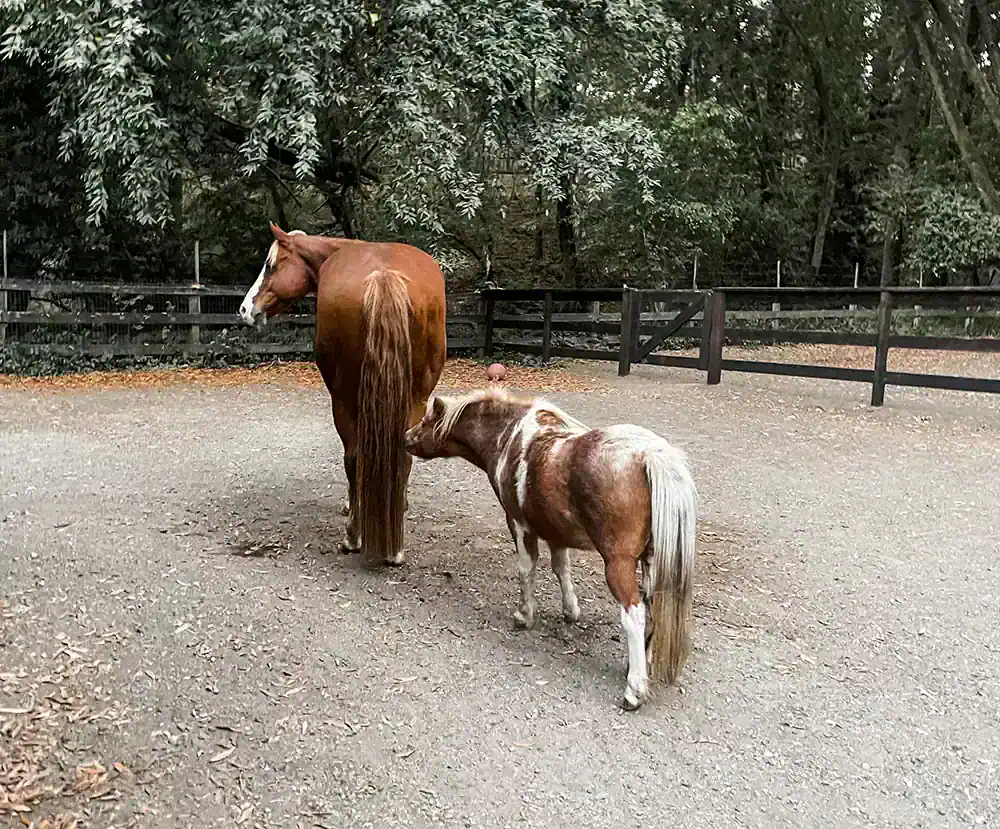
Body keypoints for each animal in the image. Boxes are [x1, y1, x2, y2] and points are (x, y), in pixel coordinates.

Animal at [239, 222, 447, 567]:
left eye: (271, 265)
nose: (245, 310)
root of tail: (384, 275)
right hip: (415, 397)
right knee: (402, 455)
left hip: (345, 399)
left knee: (353, 457)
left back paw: (353, 535)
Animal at [402, 387, 697, 710]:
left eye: (428, 419)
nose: (406, 437)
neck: (509, 436)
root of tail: (649, 456)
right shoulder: (555, 530)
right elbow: (561, 568)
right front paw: (570, 611)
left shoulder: (519, 524)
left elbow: (526, 568)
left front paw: (525, 615)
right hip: (652, 562)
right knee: (652, 607)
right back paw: (640, 666)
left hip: (618, 563)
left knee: (634, 615)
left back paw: (634, 689)